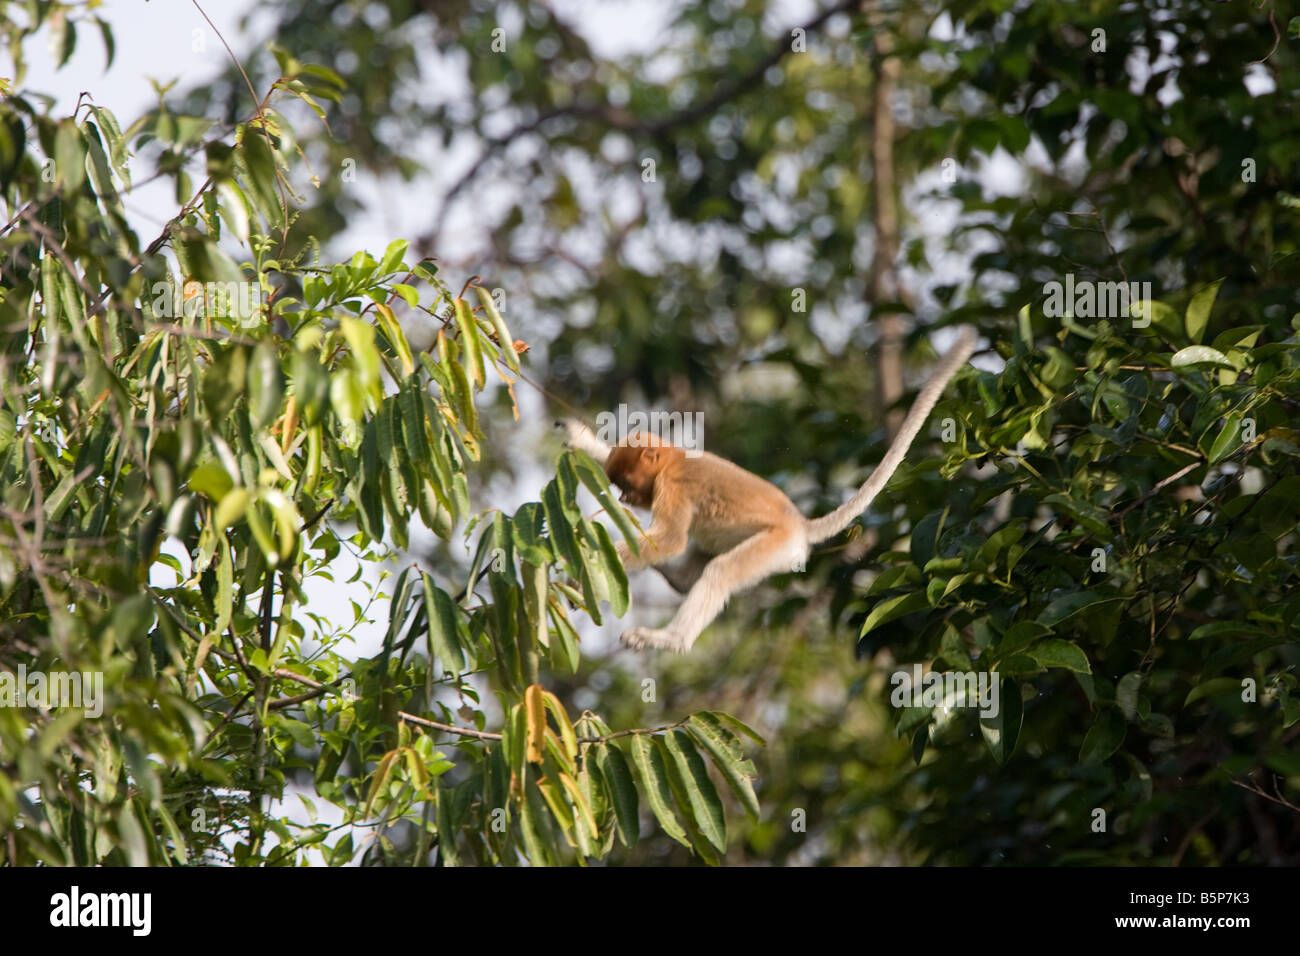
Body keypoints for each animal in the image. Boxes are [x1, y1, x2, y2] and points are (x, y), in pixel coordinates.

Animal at [557, 326, 977, 653]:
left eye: (628, 485)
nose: (624, 498)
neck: (673, 460)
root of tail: (799, 523)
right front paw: (580, 438)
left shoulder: (672, 487)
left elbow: (672, 539)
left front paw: (581, 573)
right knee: (699, 566)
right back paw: (672, 579)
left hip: (776, 546)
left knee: (720, 572)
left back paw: (668, 638)